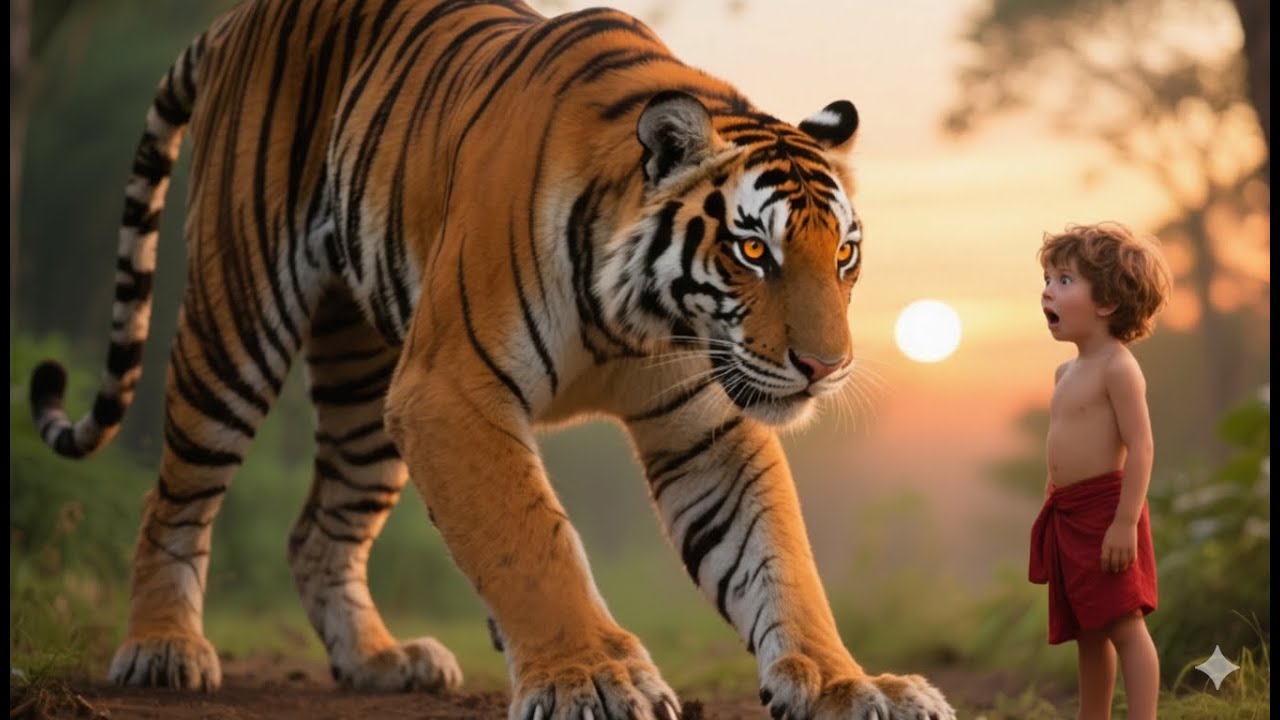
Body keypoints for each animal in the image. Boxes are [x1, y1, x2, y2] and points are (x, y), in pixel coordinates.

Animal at [28, 1, 956, 718]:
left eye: (844, 257)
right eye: (754, 251)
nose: (825, 367)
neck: (644, 319)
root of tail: (239, 18)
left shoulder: (705, 426)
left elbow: (779, 562)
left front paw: (850, 685)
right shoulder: (451, 392)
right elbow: (532, 541)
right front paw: (597, 678)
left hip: (368, 388)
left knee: (318, 529)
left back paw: (380, 660)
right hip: (238, 322)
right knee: (176, 496)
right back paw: (162, 649)